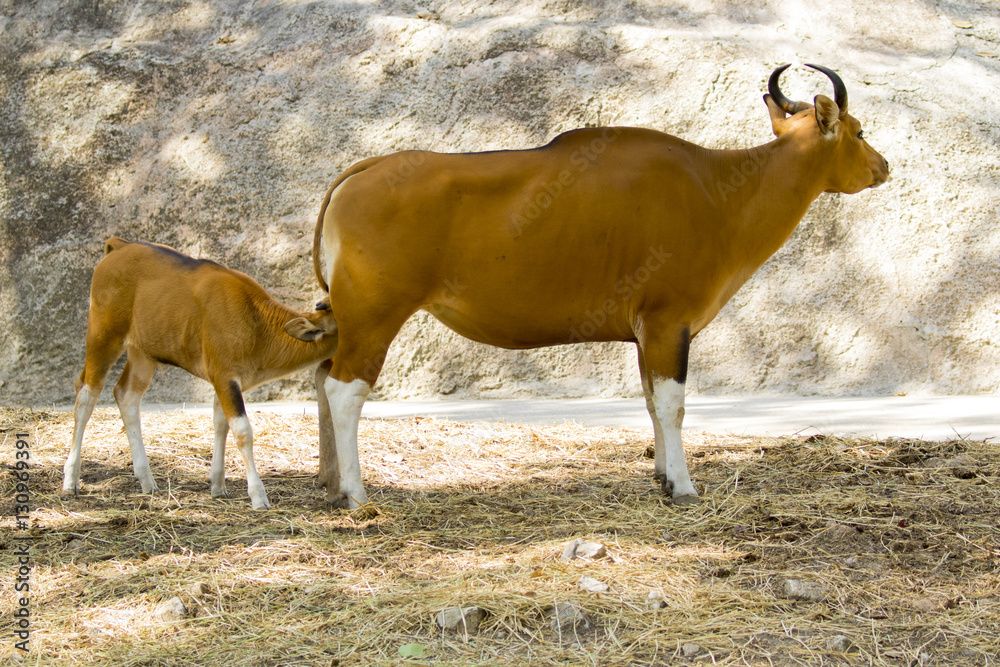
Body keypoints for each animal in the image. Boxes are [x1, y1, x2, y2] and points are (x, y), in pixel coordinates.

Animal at [62, 237, 340, 509]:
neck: (258, 322)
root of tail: (117, 246)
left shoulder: (225, 381)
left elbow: (221, 424)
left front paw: (217, 485)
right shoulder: (224, 376)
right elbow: (243, 431)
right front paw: (258, 496)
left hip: (143, 353)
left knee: (126, 395)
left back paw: (147, 480)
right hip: (103, 337)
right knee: (85, 394)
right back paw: (70, 479)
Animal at [292, 63, 889, 509]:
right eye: (859, 131)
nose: (883, 166)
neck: (721, 189)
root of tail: (362, 171)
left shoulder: (648, 332)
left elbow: (650, 401)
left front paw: (663, 476)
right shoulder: (670, 321)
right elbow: (673, 404)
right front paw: (685, 486)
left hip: (346, 316)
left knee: (322, 379)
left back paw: (329, 484)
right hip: (376, 314)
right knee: (344, 390)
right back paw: (355, 492)